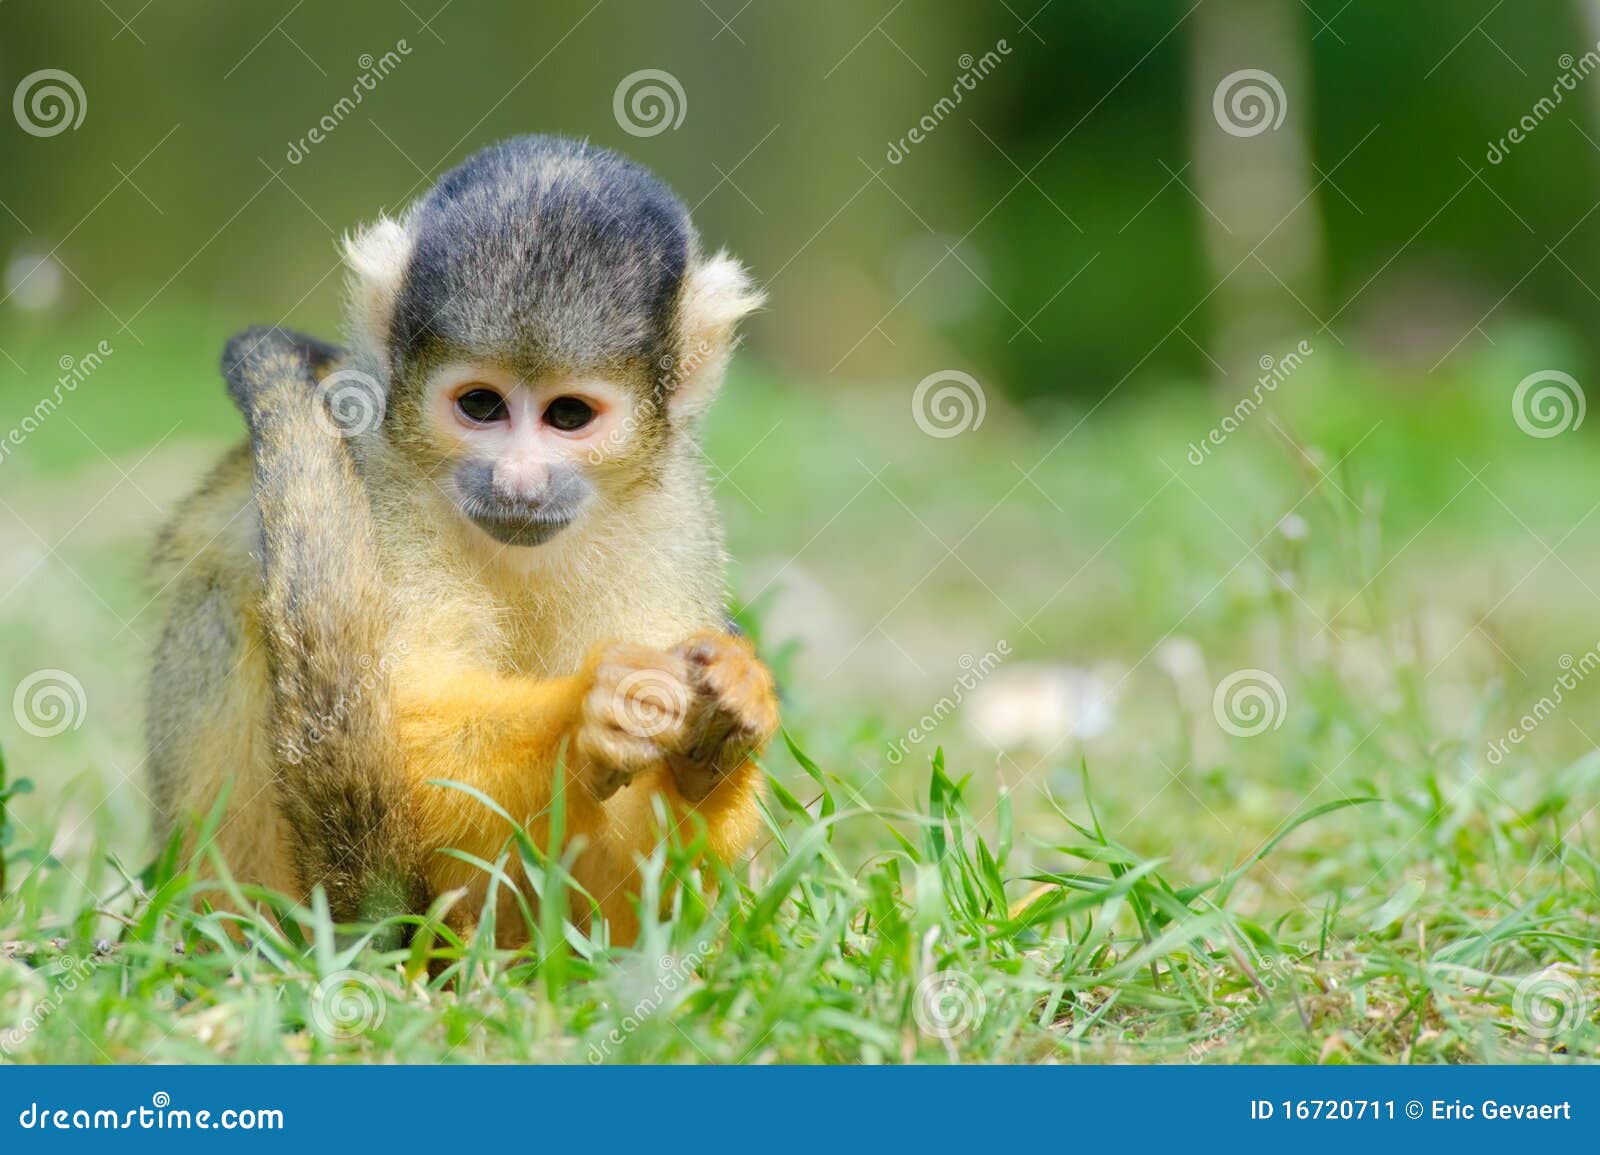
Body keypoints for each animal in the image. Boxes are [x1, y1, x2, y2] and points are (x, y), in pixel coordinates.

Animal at [146, 135, 778, 945]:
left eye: (568, 415)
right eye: (480, 405)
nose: (518, 482)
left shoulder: (674, 519)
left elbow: (628, 912)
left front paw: (721, 735)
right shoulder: (379, 475)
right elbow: (403, 725)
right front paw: (588, 711)